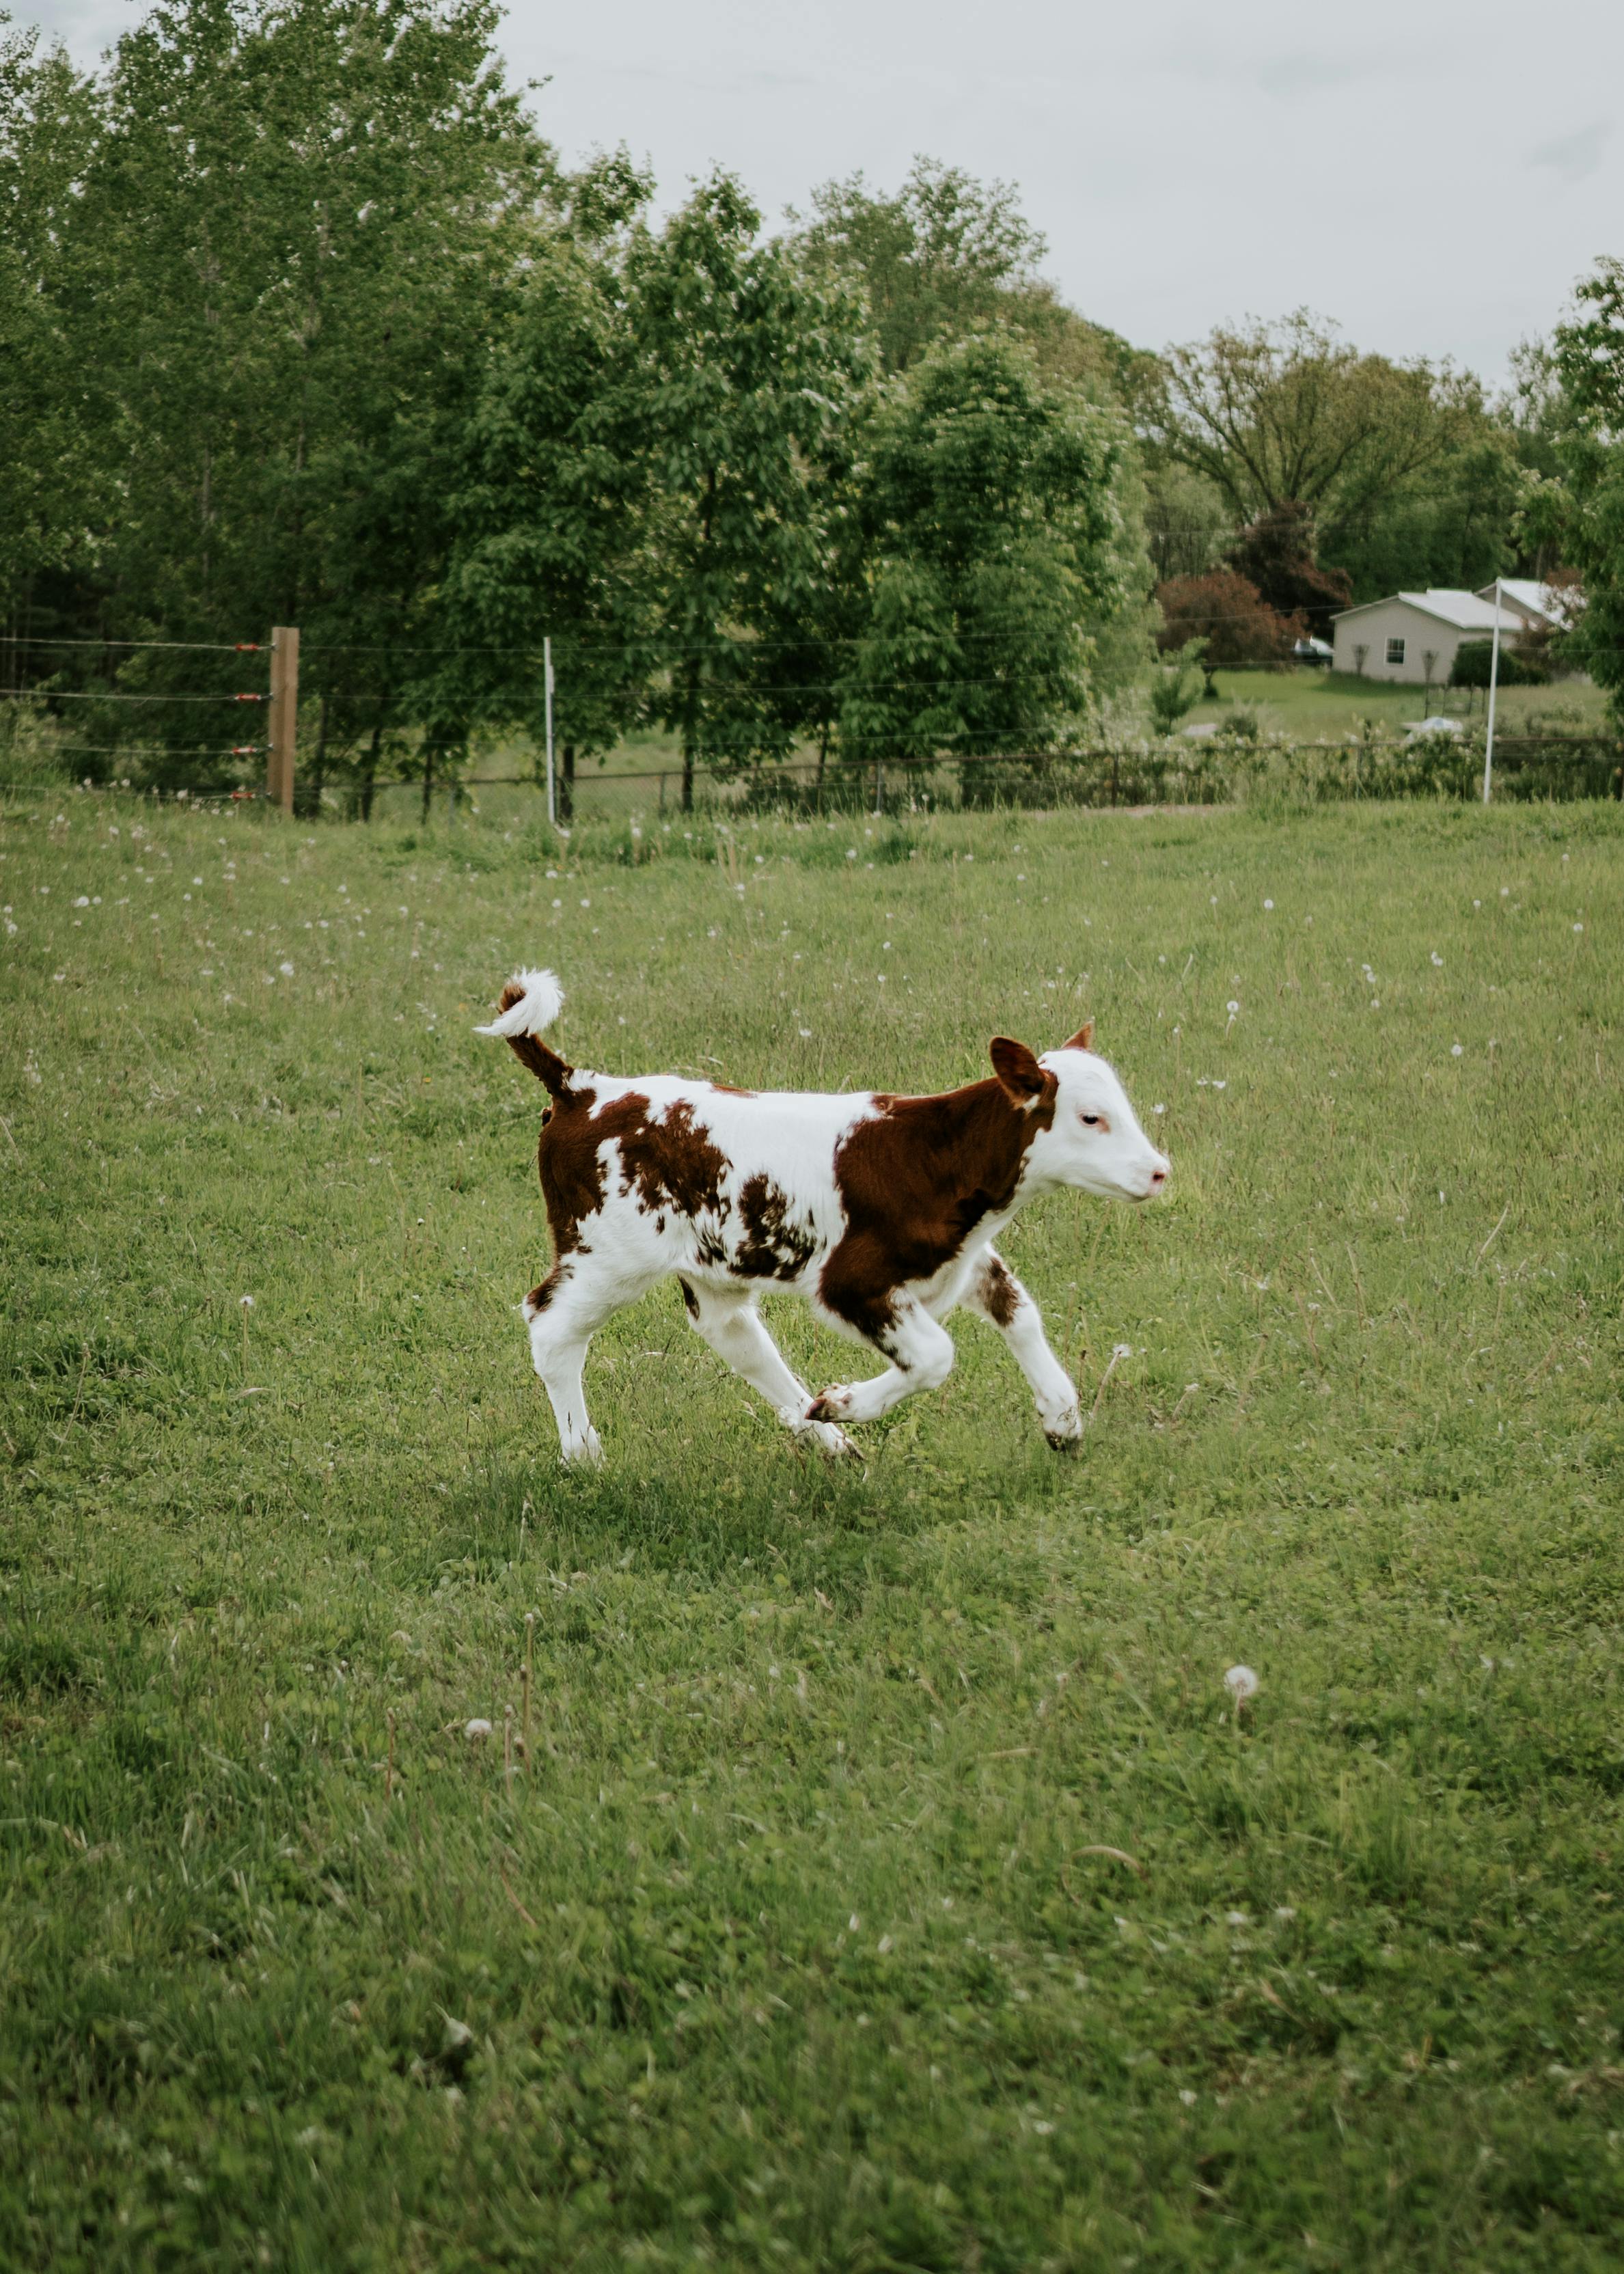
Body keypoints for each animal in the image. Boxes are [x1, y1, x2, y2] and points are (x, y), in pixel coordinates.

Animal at [477, 968, 1169, 1464]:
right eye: (1090, 1117)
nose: (1159, 1170)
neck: (931, 1153)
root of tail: (583, 1087)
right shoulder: (851, 1282)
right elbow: (936, 1356)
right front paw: (842, 1402)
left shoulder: (958, 1258)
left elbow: (1019, 1311)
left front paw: (1061, 1419)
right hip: (607, 1254)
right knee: (551, 1326)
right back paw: (583, 1454)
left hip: (712, 1258)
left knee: (734, 1335)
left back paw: (826, 1441)